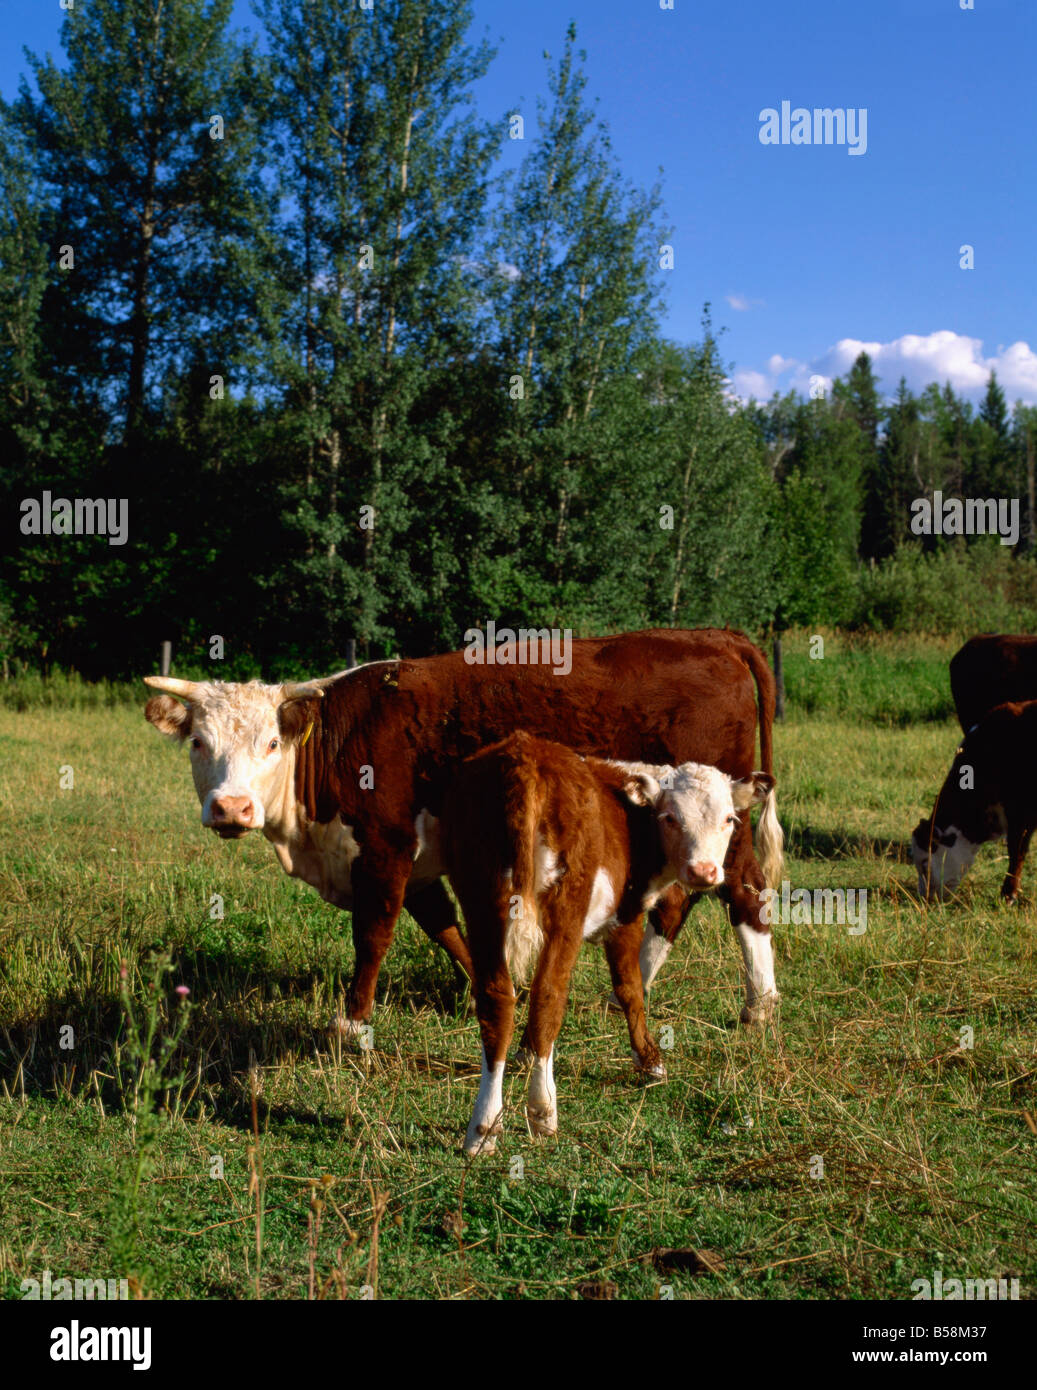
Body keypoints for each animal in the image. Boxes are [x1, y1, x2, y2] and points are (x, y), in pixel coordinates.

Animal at [143, 627, 783, 1031]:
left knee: (743, 890)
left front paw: (353, 1025)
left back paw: (759, 1004)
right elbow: (446, 929)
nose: (231, 808)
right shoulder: (419, 866)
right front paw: (494, 988)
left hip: (720, 815)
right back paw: (641, 983)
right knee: (680, 898)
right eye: (198, 742)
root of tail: (713, 636)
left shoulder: (385, 847)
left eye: (272, 743)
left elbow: (372, 935)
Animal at [440, 732, 774, 1154]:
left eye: (728, 819)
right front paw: (649, 1060)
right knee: (549, 994)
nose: (704, 871)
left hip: (480, 902)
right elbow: (630, 988)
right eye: (670, 818)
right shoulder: (625, 917)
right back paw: (542, 1110)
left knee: (498, 998)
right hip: (565, 908)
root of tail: (525, 757)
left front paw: (525, 1052)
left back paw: (483, 1127)